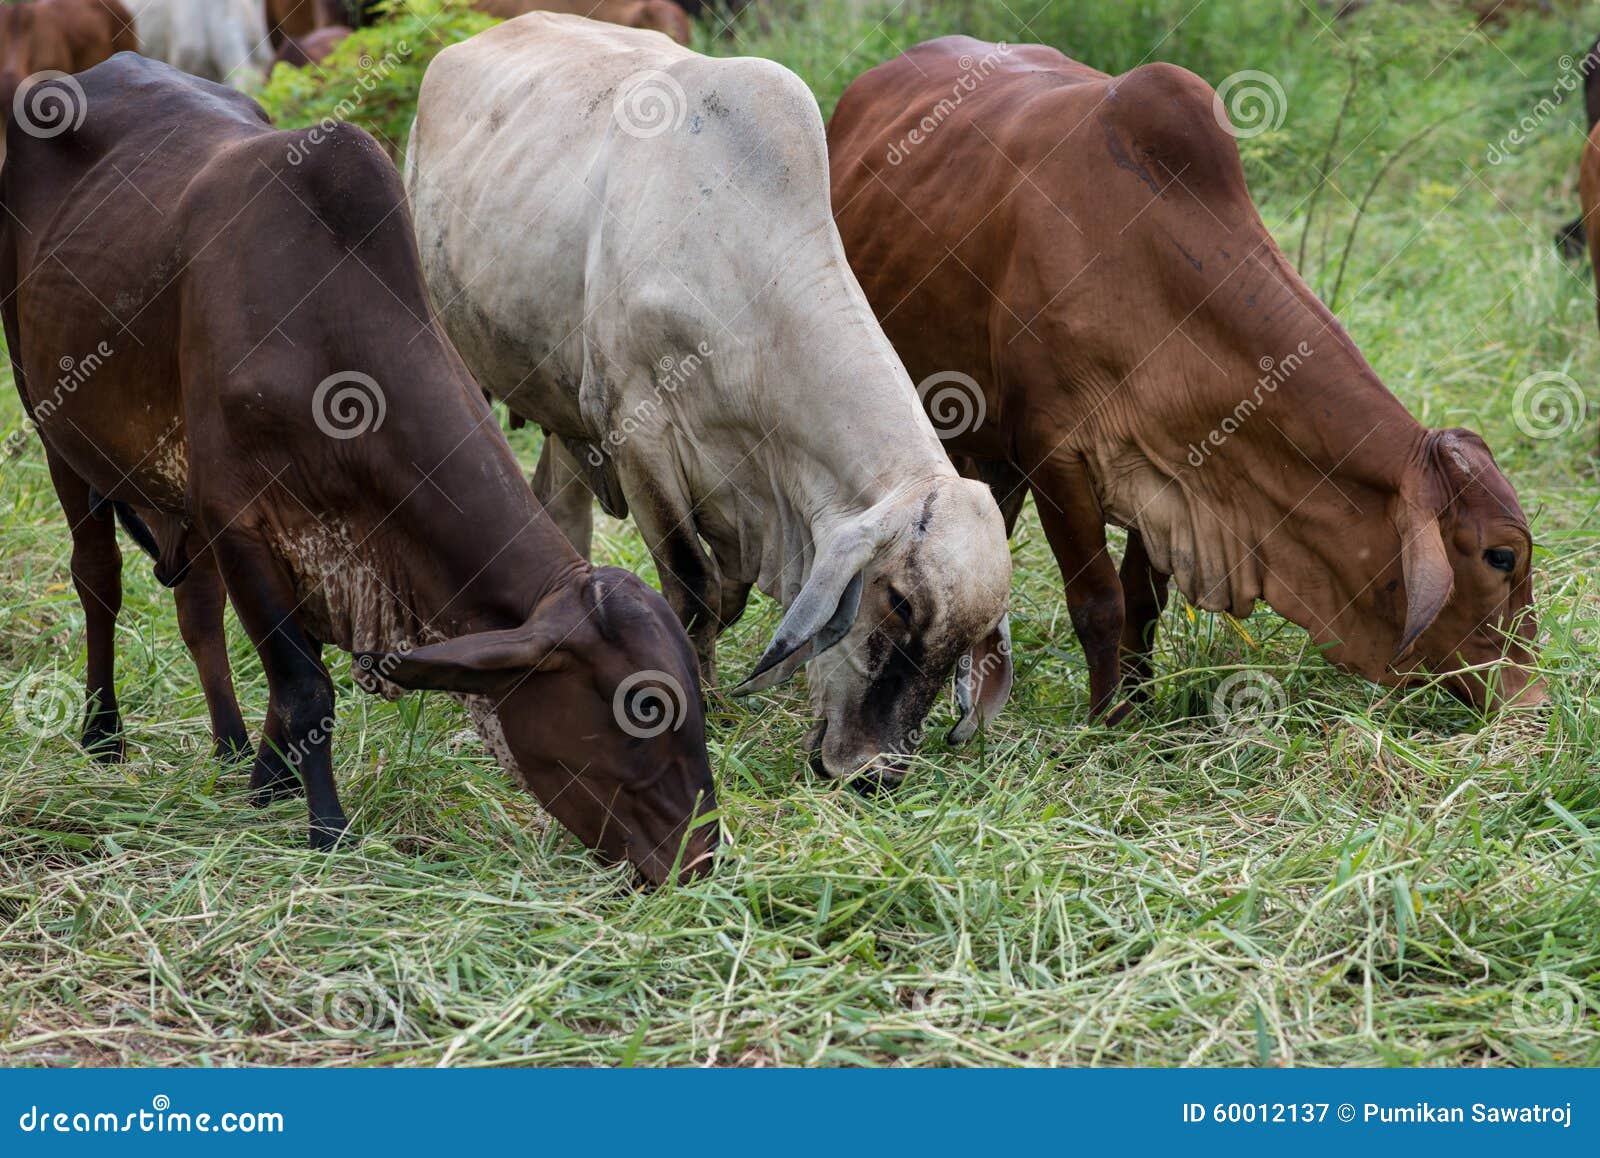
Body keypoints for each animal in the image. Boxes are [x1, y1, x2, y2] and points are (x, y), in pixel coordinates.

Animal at [1, 54, 718, 884]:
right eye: (643, 711)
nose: (703, 857)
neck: (329, 344)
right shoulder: (241, 520)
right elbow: (306, 687)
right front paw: (327, 829)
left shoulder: (279, 534)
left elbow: (289, 672)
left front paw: (267, 781)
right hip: (55, 426)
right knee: (98, 581)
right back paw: (102, 732)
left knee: (197, 610)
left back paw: (228, 744)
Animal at [406, 15, 1014, 789]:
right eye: (899, 601)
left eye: (966, 641)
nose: (875, 771)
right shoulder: (639, 436)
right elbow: (694, 588)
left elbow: (724, 596)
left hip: (563, 412)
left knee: (559, 506)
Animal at [828, 38, 1542, 718]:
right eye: (1501, 556)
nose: (1533, 699)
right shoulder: (1054, 455)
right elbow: (1099, 602)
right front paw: (1111, 720)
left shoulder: (1175, 468)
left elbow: (1143, 600)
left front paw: (1146, 707)